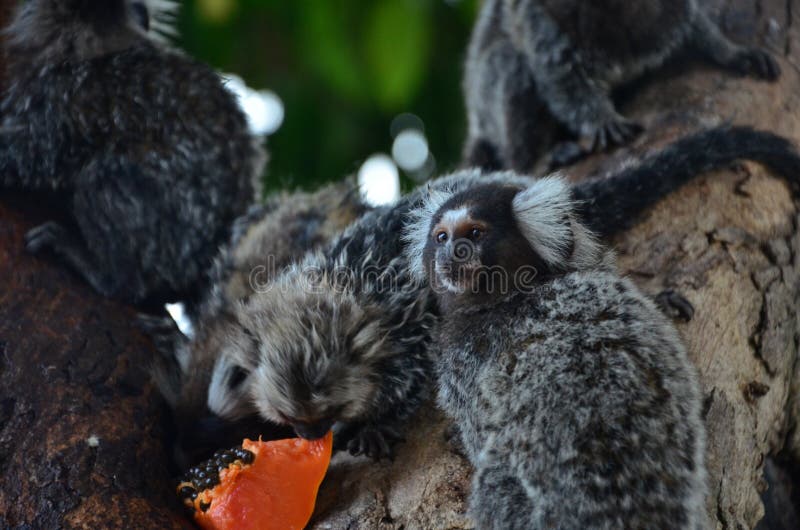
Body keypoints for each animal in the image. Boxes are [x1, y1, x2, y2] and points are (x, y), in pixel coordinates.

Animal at [191, 126, 800, 462]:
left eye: (327, 410)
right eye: (289, 421)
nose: (312, 433)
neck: (349, 286)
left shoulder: (407, 321)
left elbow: (415, 373)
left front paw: (375, 426)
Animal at [404, 177, 708, 529]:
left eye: (475, 233)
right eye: (442, 236)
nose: (451, 252)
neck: (511, 295)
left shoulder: (465, 362)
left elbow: (478, 433)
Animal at [463, 0, 781, 172]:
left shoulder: (673, 12)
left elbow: (697, 29)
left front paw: (731, 52)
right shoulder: (541, 16)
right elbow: (562, 79)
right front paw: (602, 120)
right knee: (510, 63)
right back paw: (537, 159)